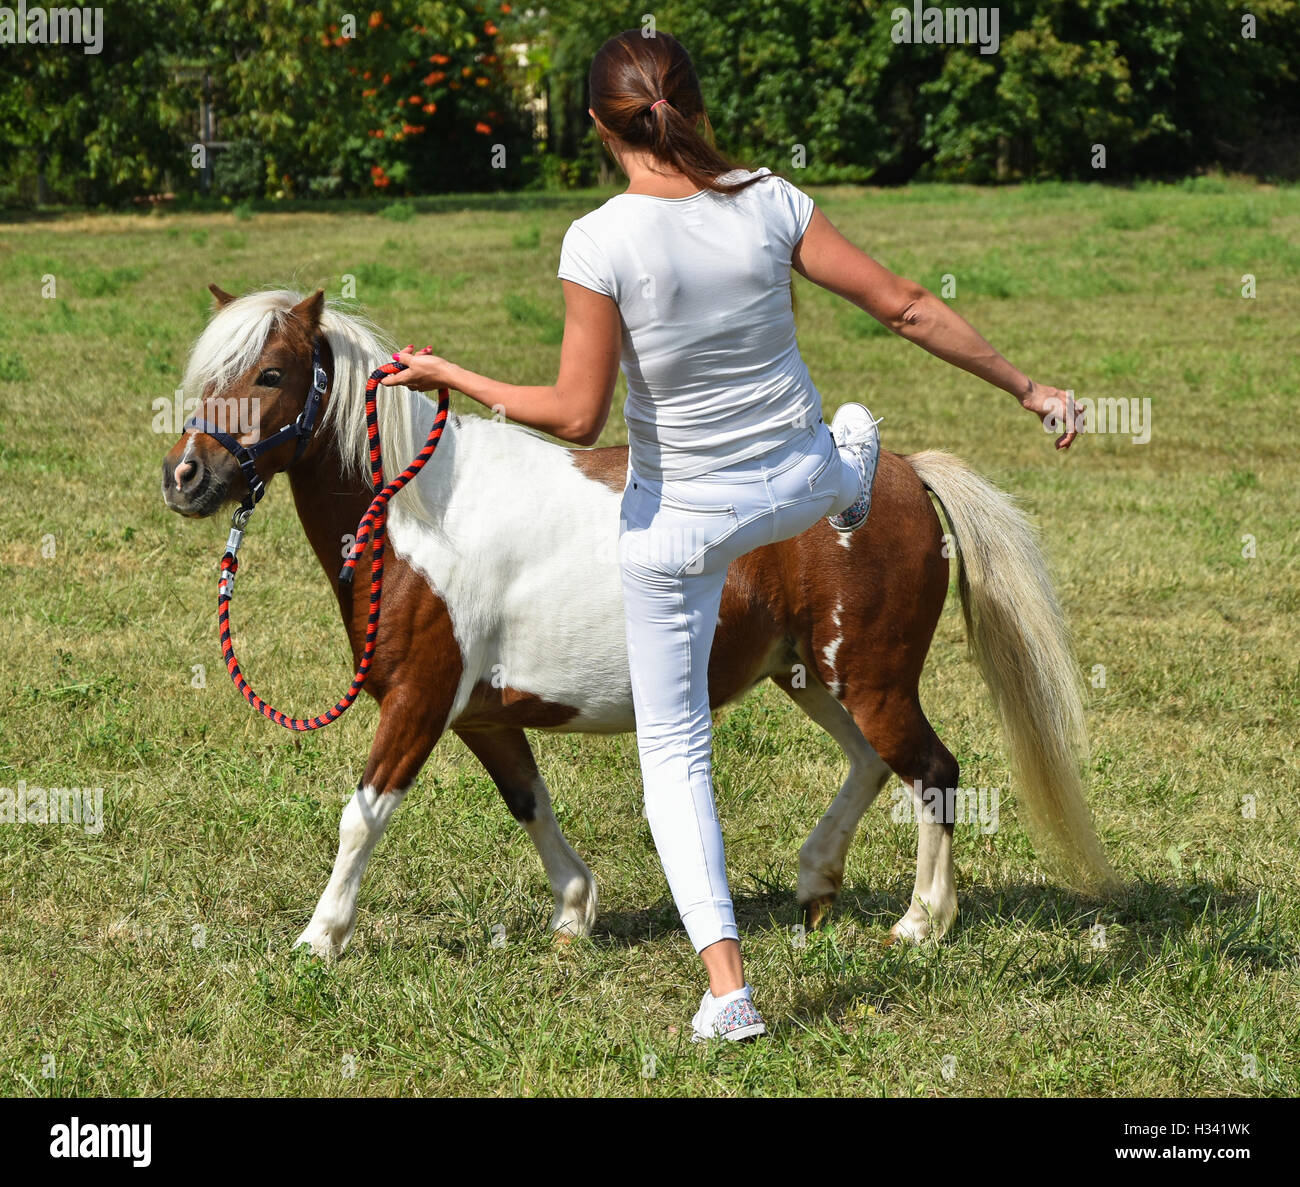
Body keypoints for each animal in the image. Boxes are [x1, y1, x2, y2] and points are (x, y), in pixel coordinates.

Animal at [161, 285, 1116, 959]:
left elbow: (362, 816)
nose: (186, 477)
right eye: (206, 376)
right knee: (871, 762)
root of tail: (900, 470)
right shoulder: (479, 715)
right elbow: (529, 800)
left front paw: (320, 937)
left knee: (933, 771)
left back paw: (922, 921)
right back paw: (815, 883)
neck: (412, 513)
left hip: (869, 675)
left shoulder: (418, 702)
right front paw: (574, 910)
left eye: (271, 374)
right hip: (809, 674)